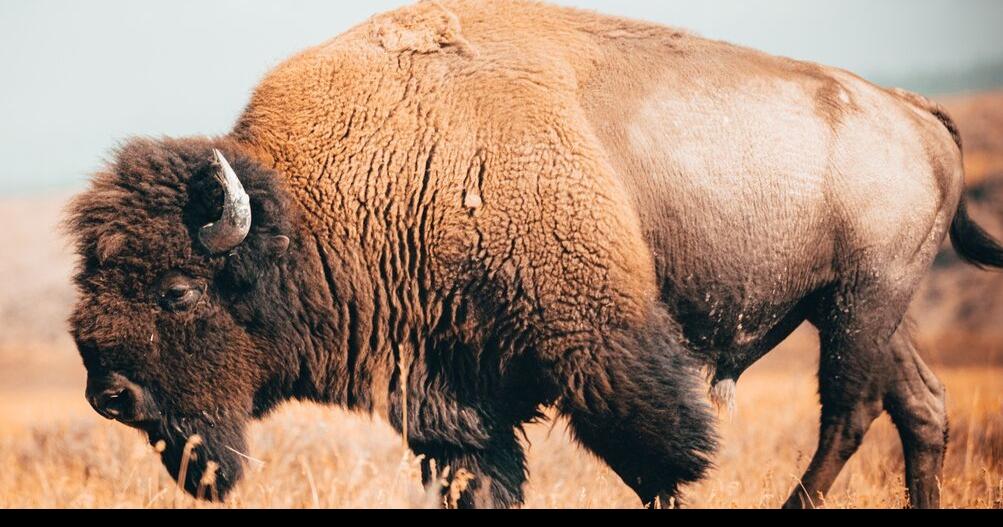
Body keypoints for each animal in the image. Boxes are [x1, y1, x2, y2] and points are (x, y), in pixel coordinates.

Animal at [68, 0, 1003, 508]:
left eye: (179, 291)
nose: (109, 393)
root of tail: (911, 107)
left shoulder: (603, 347)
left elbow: (661, 460)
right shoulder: (449, 395)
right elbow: (480, 476)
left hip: (858, 303)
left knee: (848, 409)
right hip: (866, 308)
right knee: (918, 406)